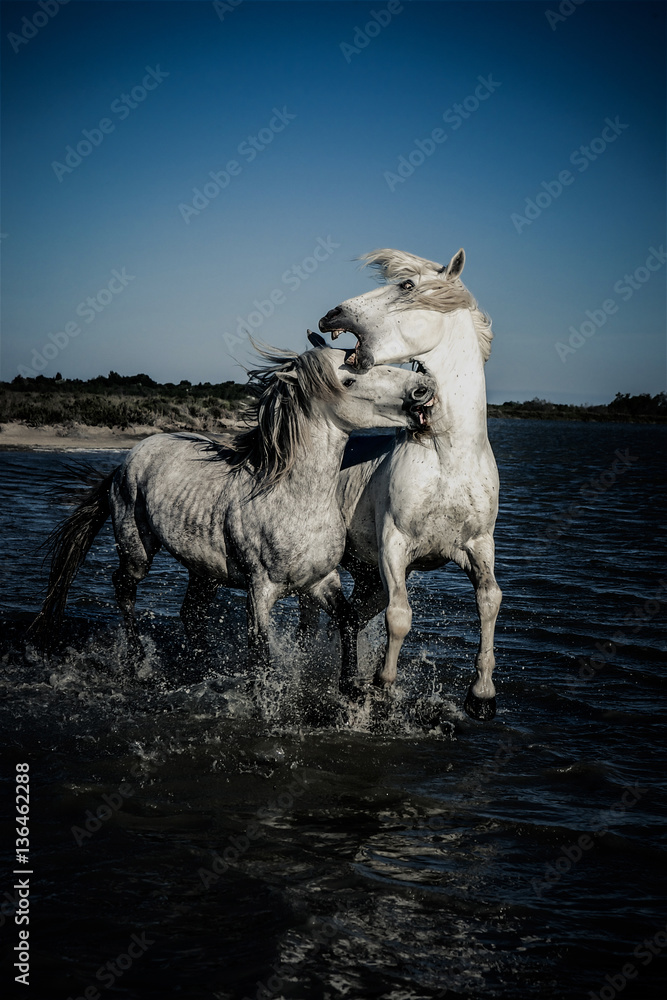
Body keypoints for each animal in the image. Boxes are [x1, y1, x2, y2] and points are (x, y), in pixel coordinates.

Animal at [29, 345, 436, 697]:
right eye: (349, 380)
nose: (423, 388)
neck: (293, 498)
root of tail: (127, 459)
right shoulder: (261, 590)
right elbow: (262, 653)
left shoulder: (321, 580)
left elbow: (348, 620)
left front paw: (353, 688)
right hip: (137, 548)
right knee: (124, 587)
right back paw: (137, 662)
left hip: (204, 569)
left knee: (192, 614)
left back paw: (203, 669)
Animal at [315, 248, 501, 721]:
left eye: (406, 286)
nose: (330, 315)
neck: (448, 457)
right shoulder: (395, 545)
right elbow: (400, 617)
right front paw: (383, 687)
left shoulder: (478, 545)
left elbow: (490, 600)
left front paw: (482, 695)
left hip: (366, 577)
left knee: (351, 618)